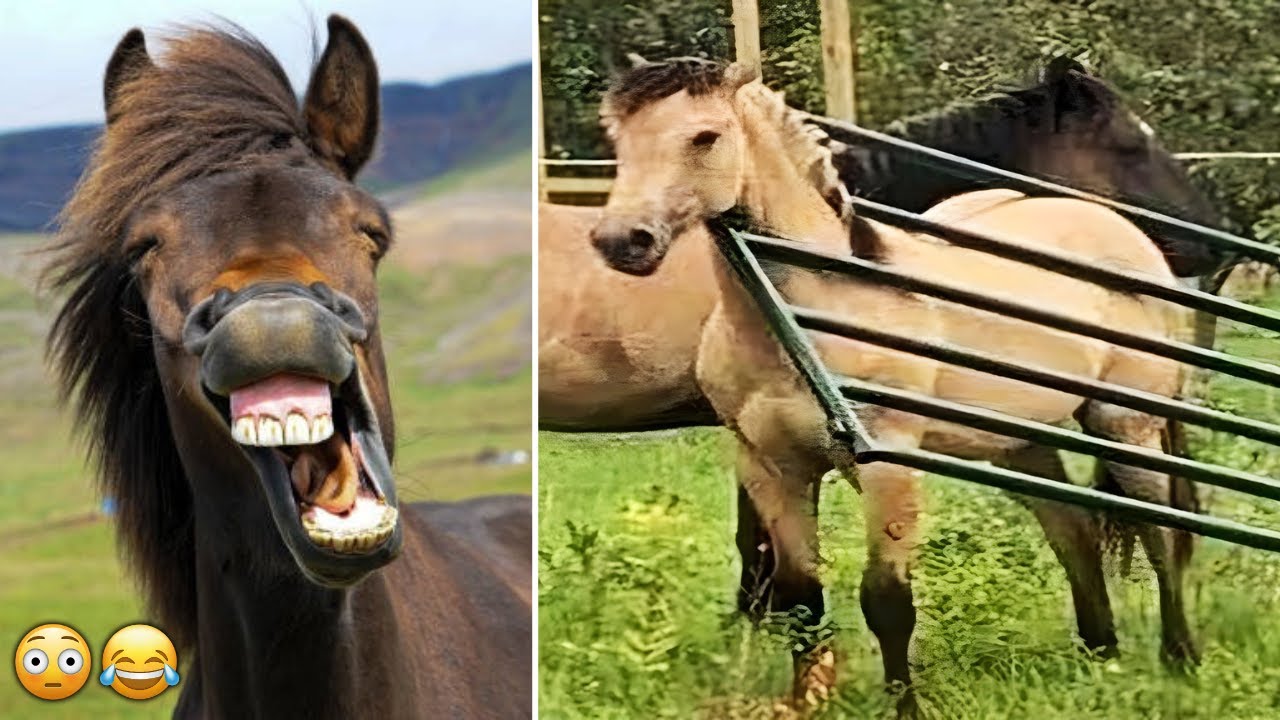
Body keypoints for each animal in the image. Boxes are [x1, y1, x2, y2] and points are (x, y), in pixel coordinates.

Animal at [585, 57, 1195, 713]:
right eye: (619, 139)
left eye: (706, 136)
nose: (623, 240)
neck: (815, 308)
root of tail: (1126, 235)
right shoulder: (771, 467)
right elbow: (802, 598)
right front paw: (806, 702)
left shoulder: (889, 464)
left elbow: (886, 600)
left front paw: (904, 704)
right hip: (1019, 440)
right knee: (1073, 529)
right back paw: (1101, 653)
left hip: (1124, 425)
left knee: (1160, 533)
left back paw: (1180, 658)